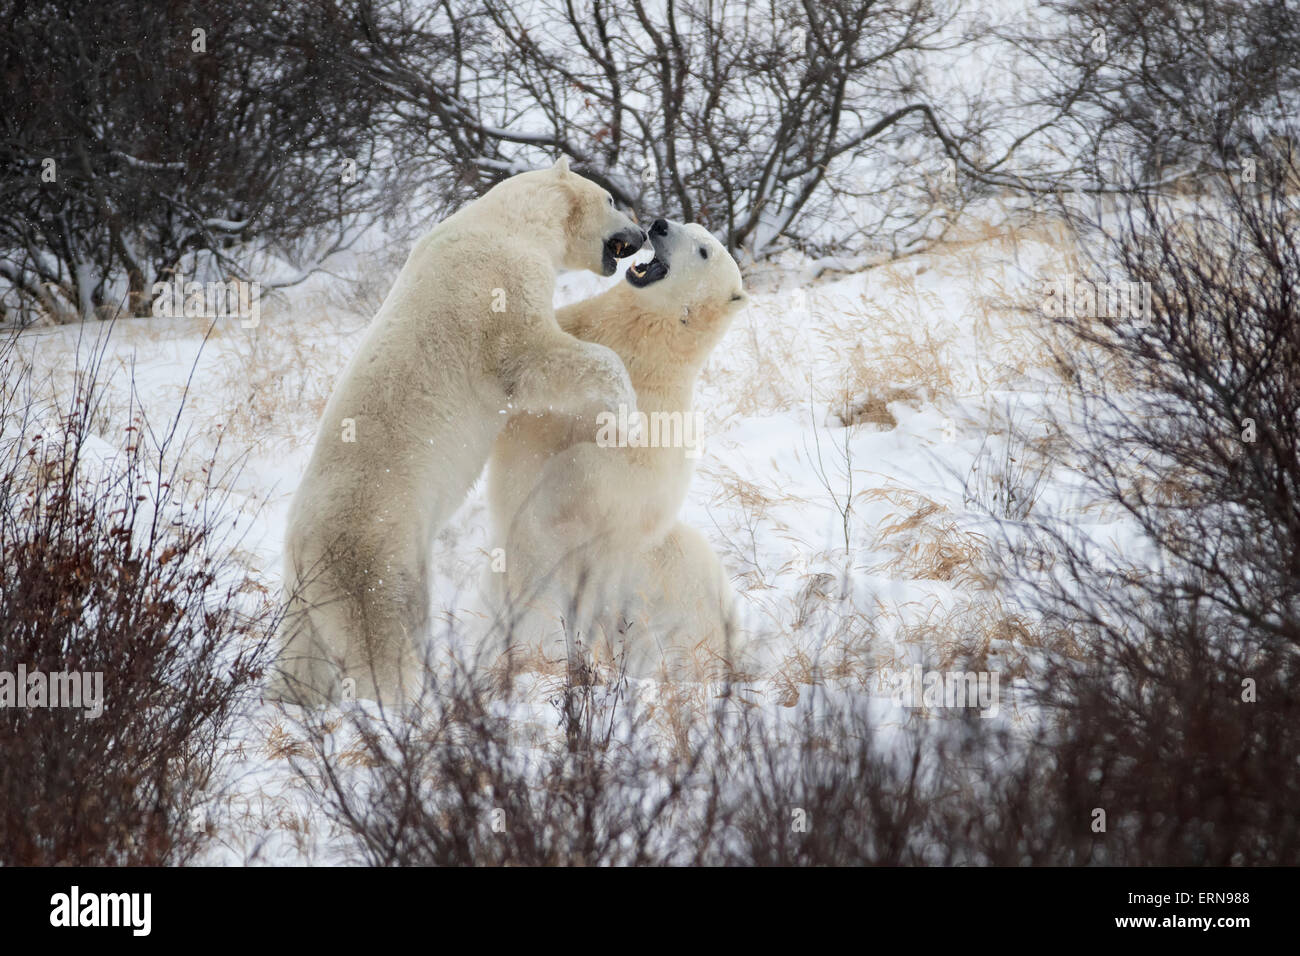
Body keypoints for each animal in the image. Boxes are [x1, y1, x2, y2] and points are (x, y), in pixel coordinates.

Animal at [268, 159, 647, 706]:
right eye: (612, 200)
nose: (642, 234)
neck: (508, 222)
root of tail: (301, 548)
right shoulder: (498, 286)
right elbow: (531, 357)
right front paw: (627, 411)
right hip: (375, 555)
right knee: (381, 637)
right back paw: (407, 704)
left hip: (306, 595)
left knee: (302, 657)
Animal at [486, 217, 748, 678]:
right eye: (687, 224)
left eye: (703, 250)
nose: (659, 225)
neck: (644, 350)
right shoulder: (574, 333)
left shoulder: (652, 424)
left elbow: (609, 471)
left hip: (666, 602)